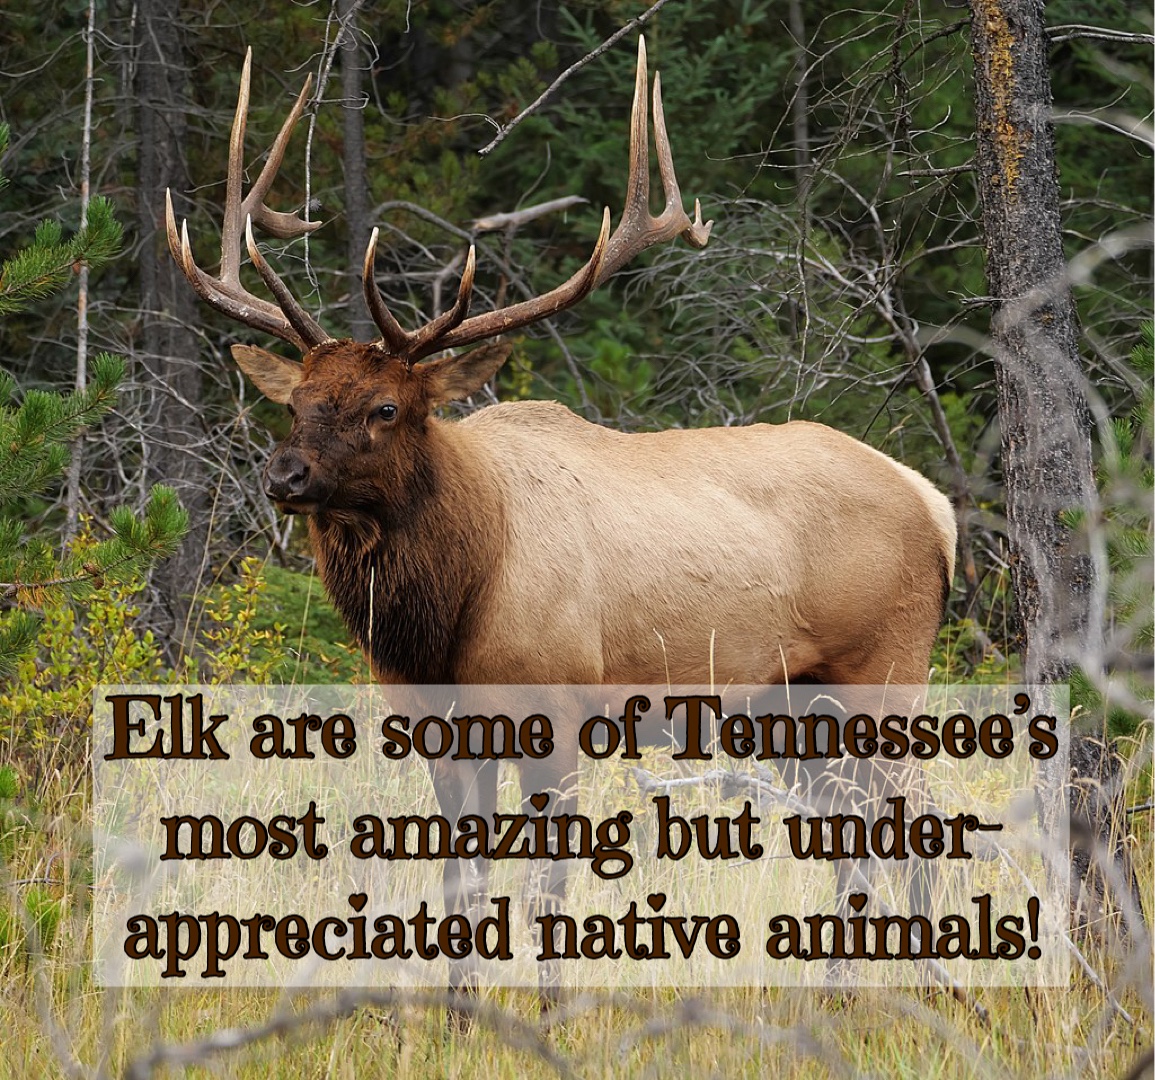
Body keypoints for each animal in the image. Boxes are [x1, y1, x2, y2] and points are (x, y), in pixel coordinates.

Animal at [166, 40, 957, 1012]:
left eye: (386, 407)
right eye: (297, 402)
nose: (284, 475)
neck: (446, 612)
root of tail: (933, 504)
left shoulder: (560, 710)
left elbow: (545, 884)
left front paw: (548, 1007)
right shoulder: (435, 728)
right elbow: (460, 880)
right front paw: (458, 1011)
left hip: (882, 673)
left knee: (911, 827)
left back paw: (928, 990)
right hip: (791, 702)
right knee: (850, 839)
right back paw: (843, 991)